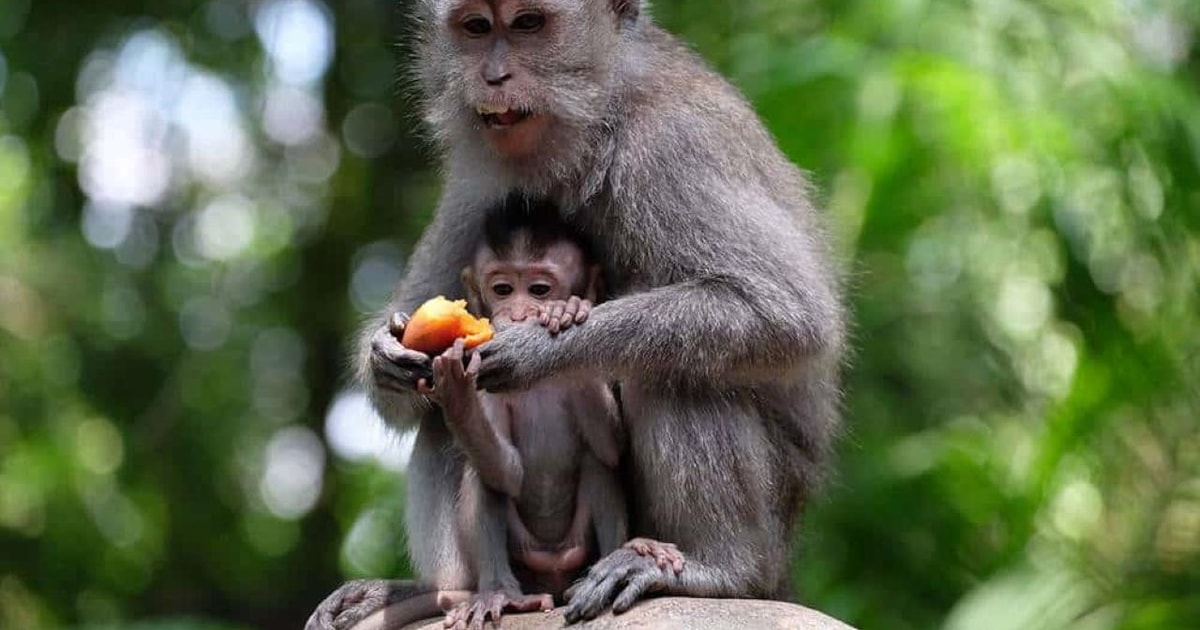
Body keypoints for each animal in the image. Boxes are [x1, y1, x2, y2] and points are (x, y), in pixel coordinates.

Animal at [308, 0, 846, 627]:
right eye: (476, 28)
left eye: (528, 24)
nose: (493, 77)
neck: (597, 122)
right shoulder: (479, 180)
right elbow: (410, 374)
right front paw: (387, 352)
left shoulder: (675, 147)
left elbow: (784, 313)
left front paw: (537, 350)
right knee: (439, 416)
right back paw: (442, 593)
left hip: (767, 522)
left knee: (677, 371)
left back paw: (718, 569)